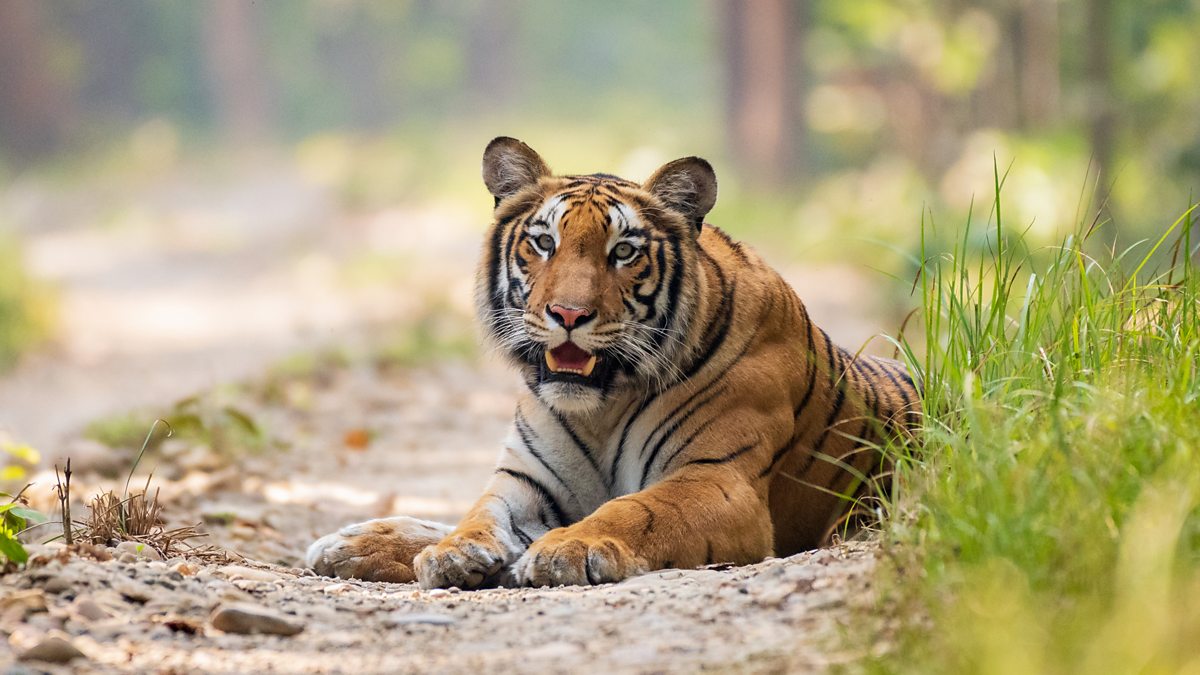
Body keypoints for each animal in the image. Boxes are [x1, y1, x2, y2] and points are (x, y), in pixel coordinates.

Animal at [306, 137, 921, 589]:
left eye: (623, 252)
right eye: (544, 243)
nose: (568, 313)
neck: (600, 407)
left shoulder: (718, 479)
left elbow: (635, 509)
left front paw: (566, 549)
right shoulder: (527, 480)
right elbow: (480, 513)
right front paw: (453, 553)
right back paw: (350, 542)